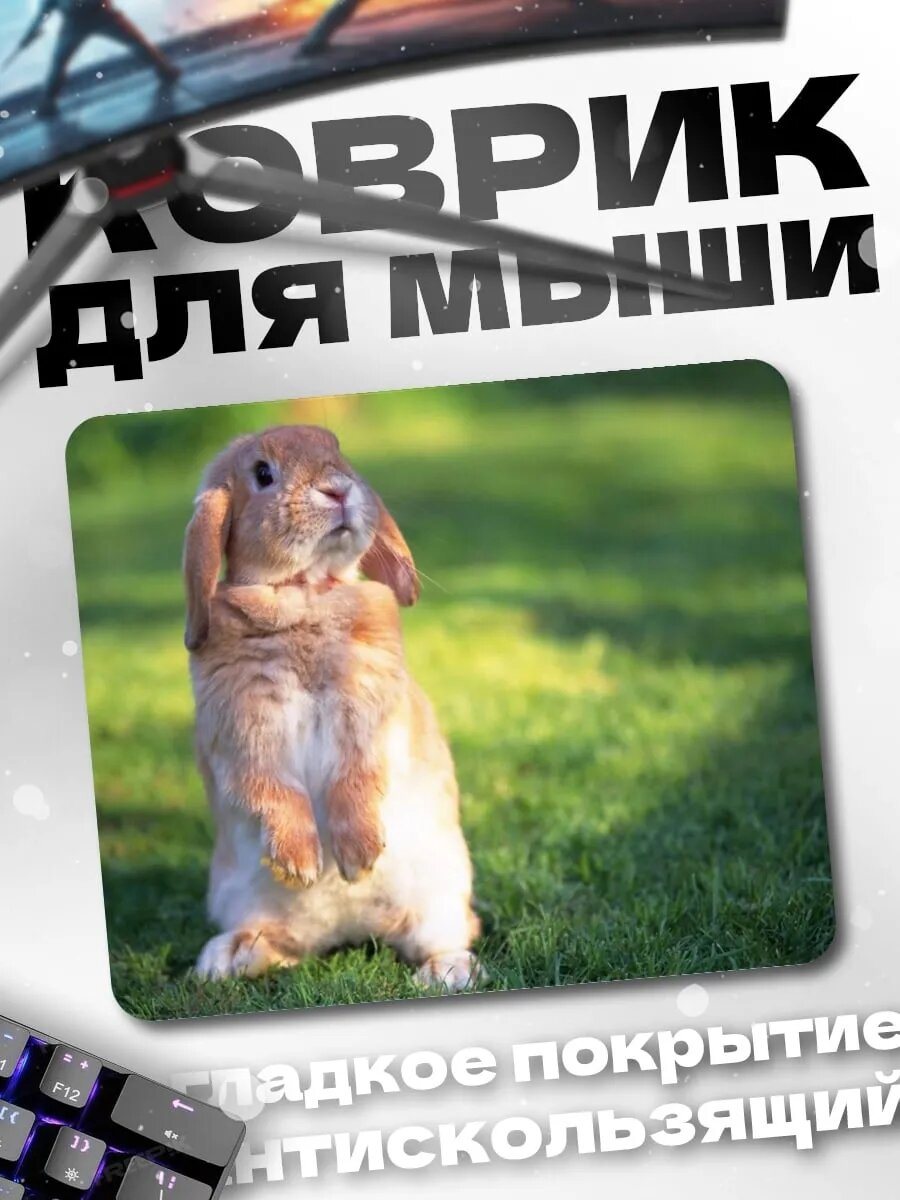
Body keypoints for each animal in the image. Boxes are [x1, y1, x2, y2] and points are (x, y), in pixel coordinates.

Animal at [183, 423, 482, 991]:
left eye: (337, 452)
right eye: (262, 473)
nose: (339, 490)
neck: (303, 593)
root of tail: (348, 929)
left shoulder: (367, 715)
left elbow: (356, 778)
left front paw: (359, 857)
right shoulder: (243, 731)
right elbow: (273, 789)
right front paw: (300, 864)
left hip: (440, 896)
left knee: (446, 934)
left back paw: (447, 971)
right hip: (241, 899)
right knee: (279, 945)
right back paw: (225, 959)